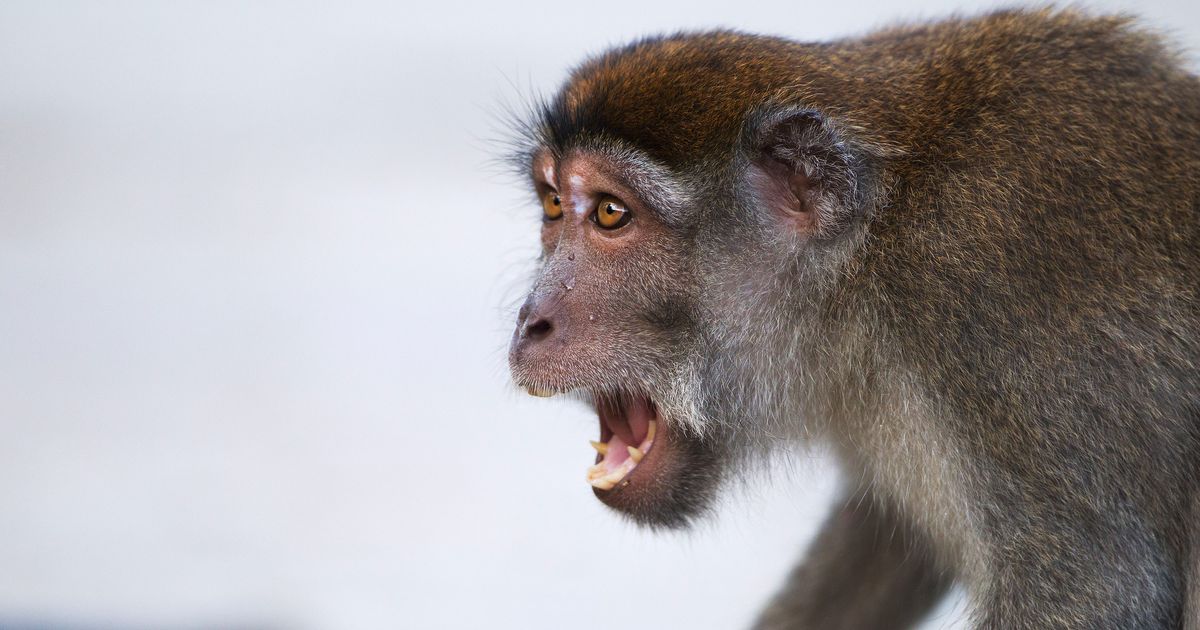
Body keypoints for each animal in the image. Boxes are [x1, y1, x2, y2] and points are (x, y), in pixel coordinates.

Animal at [504, 8, 1200, 629]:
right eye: (553, 204)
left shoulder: (994, 323)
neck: (864, 264)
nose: (531, 321)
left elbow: (1098, 590)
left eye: (611, 213)